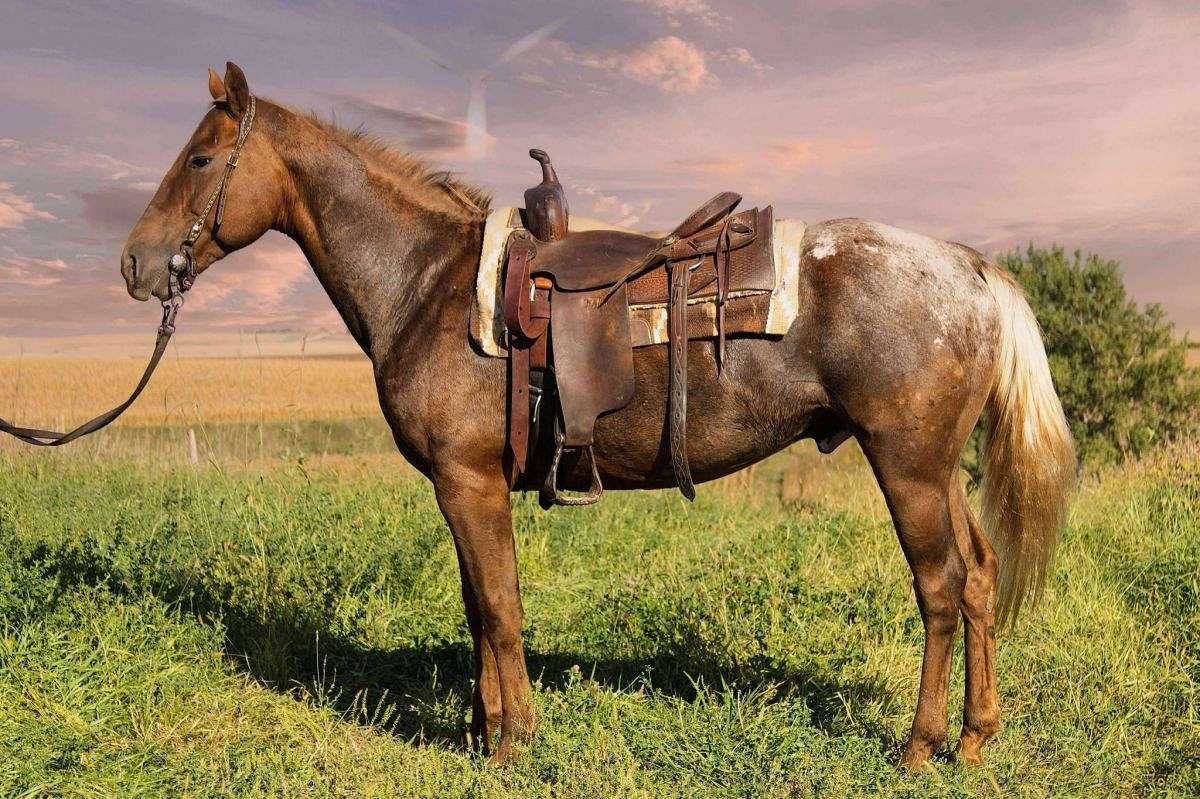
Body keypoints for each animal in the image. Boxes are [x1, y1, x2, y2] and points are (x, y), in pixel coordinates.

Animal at [119, 63, 1075, 768]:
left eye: (200, 160)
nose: (134, 262)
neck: (425, 282)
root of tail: (972, 267)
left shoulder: (468, 482)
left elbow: (500, 606)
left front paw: (514, 740)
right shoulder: (465, 487)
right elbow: (477, 606)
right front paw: (480, 732)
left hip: (904, 463)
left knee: (940, 587)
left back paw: (918, 745)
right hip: (937, 468)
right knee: (980, 576)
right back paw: (975, 737)